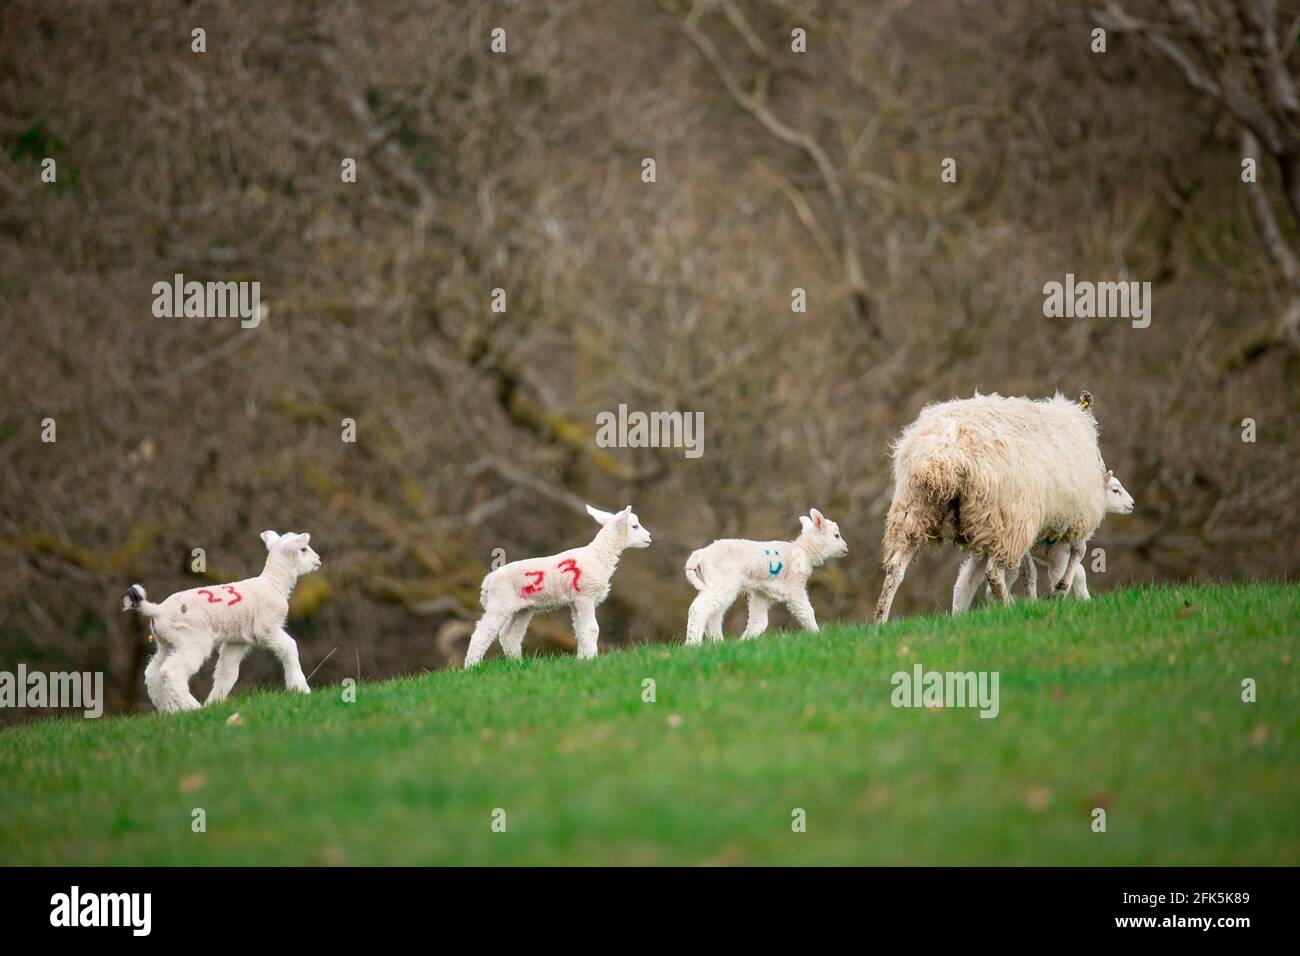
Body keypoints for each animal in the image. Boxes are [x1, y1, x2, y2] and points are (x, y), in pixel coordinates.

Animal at [122, 531, 322, 712]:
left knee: (152, 673)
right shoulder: (267, 627)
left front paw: (214, 702)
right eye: (303, 549)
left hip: (167, 643)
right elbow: (290, 647)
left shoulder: (238, 640)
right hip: (191, 640)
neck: (274, 583)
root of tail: (157, 610)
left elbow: (227, 673)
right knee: (170, 672)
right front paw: (301, 689)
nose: (318, 560)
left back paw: (169, 710)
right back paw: (193, 708)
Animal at [463, 505, 652, 667]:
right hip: (499, 603)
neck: (599, 556)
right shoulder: (585, 596)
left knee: (509, 635)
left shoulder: (575, 601)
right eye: (635, 526)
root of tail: (487, 581)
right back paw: (471, 667)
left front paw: (582, 660)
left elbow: (581, 630)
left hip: (522, 609)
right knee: (482, 634)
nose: (650, 537)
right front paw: (592, 659)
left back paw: (517, 663)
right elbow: (592, 629)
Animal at [683, 508, 848, 645]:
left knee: (714, 614)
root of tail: (701, 554)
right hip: (722, 582)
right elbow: (806, 611)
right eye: (836, 535)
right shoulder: (795, 587)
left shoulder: (762, 593)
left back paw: (718, 643)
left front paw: (744, 642)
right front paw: (817, 635)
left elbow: (759, 622)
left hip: (714, 583)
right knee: (699, 609)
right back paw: (693, 644)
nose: (846, 548)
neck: (804, 550)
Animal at [874, 391, 1108, 623]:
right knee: (994, 572)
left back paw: (880, 620)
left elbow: (1034, 568)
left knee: (895, 568)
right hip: (1005, 521)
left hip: (911, 513)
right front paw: (1060, 589)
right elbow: (1079, 552)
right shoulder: (1078, 517)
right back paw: (1007, 609)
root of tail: (942, 454)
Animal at [952, 470, 1134, 611]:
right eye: (1115, 490)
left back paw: (959, 616)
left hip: (982, 552)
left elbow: (1079, 572)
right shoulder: (1058, 552)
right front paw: (1060, 600)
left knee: (965, 583)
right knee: (996, 585)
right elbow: (1057, 575)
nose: (1132, 504)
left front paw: (1085, 600)